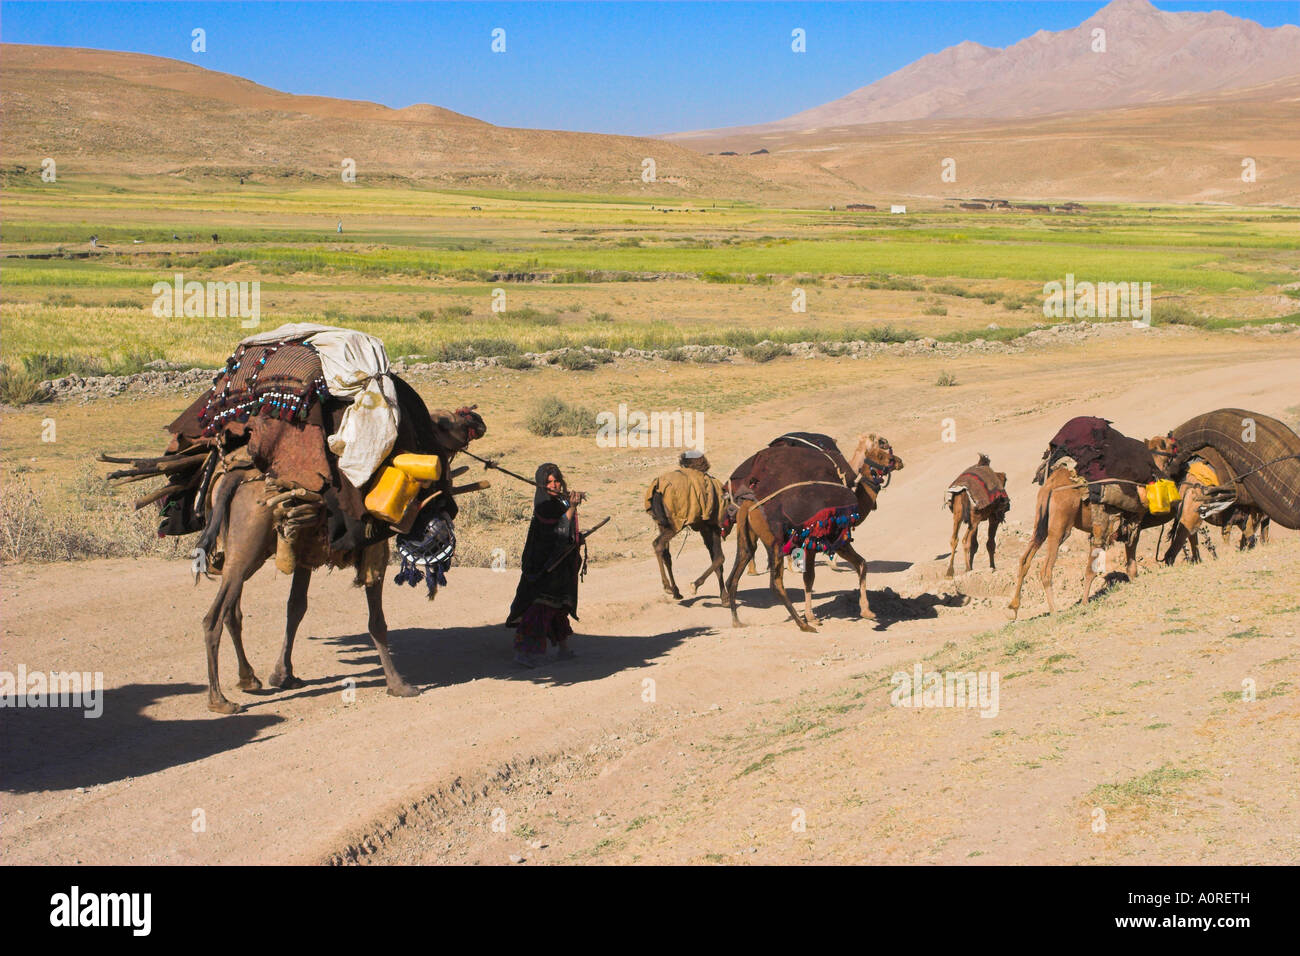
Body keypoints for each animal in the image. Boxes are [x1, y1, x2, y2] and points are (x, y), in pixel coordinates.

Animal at [644, 452, 729, 601]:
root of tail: (657, 491)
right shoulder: (713, 525)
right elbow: (720, 558)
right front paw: (721, 596)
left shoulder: (704, 526)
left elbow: (715, 558)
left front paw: (723, 596)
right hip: (675, 524)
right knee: (657, 544)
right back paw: (667, 587)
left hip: (662, 524)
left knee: (666, 554)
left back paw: (676, 591)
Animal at [724, 433, 903, 631]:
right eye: (881, 453)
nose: (898, 461)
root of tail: (748, 504)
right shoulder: (830, 539)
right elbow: (813, 576)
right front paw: (814, 617)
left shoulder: (823, 542)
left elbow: (859, 564)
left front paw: (865, 611)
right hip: (774, 539)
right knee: (775, 582)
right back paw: (803, 625)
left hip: (747, 534)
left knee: (737, 570)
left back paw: (737, 621)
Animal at [1008, 434, 1176, 619]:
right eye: (1169, 452)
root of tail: (1050, 487)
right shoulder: (1128, 522)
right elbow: (1113, 560)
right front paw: (1085, 602)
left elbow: (1092, 567)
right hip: (1060, 526)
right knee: (1045, 569)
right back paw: (1054, 610)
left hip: (1041, 523)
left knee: (1025, 559)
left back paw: (1014, 608)